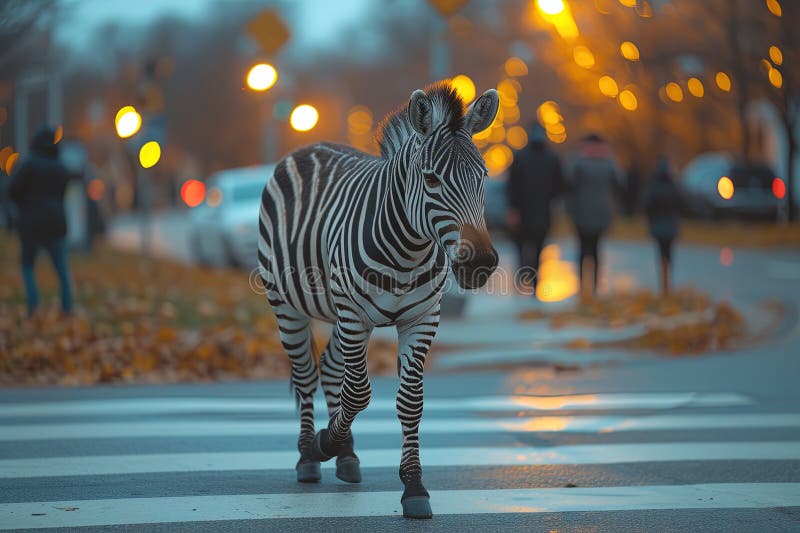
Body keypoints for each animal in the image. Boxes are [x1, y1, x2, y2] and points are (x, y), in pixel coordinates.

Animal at [257, 82, 499, 519]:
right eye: (431, 179)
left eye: (484, 177)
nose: (481, 264)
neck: (408, 249)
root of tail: (310, 145)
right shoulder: (355, 316)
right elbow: (359, 392)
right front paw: (325, 442)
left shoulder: (421, 318)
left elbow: (410, 400)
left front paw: (414, 486)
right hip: (288, 306)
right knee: (306, 374)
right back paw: (309, 456)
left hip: (340, 315)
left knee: (330, 368)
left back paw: (347, 457)